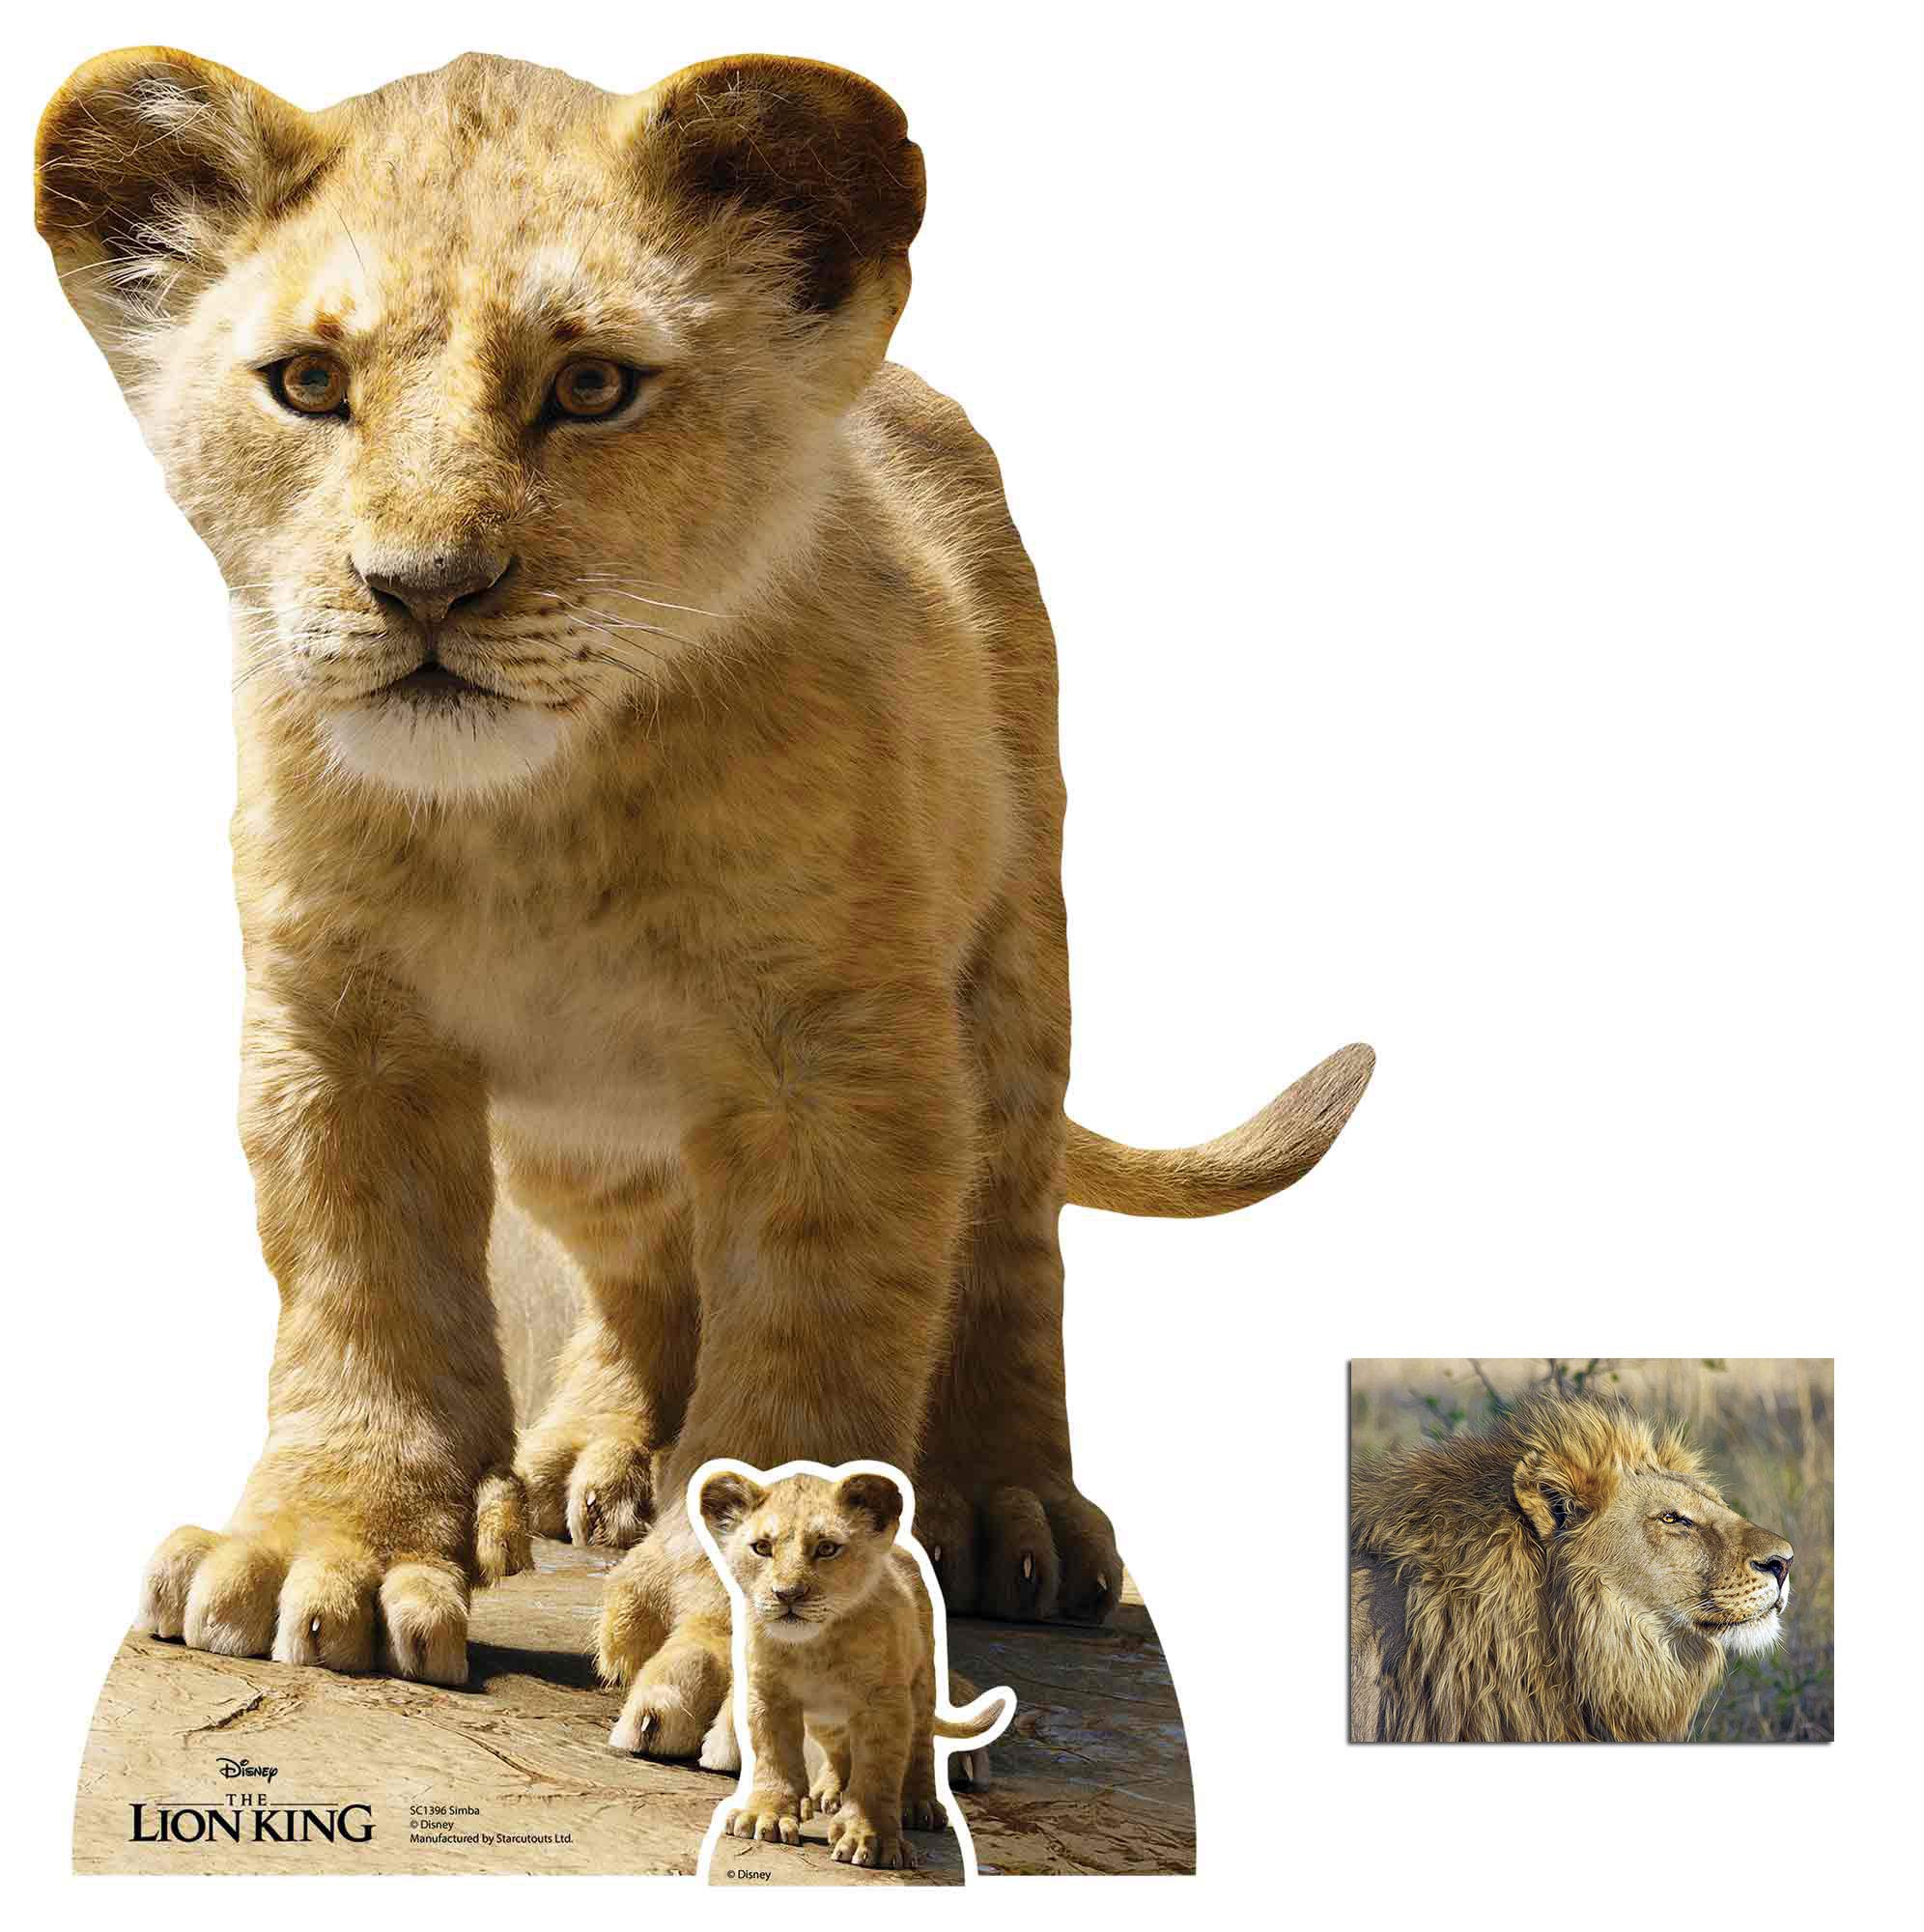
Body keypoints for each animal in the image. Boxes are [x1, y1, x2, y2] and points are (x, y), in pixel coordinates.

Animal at [35, 48, 1371, 1730]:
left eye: (593, 387)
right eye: (311, 385)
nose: (423, 589)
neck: (533, 816)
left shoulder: (839, 1062)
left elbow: (810, 1336)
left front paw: (756, 1625)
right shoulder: (332, 1024)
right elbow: (362, 1286)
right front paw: (325, 1548)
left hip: (1013, 976)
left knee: (1006, 1244)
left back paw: (1011, 1514)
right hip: (577, 1140)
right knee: (636, 1269)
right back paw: (575, 1463)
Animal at [699, 1466, 1008, 1871]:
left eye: (827, 1548)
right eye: (762, 1547)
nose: (788, 1594)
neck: (814, 1647)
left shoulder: (884, 1703)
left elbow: (877, 1770)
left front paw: (871, 1838)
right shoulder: (767, 1693)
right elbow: (774, 1754)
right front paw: (767, 1813)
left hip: (922, 1686)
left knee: (921, 1747)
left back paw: (919, 1804)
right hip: (824, 1719)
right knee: (838, 1747)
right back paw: (827, 1793)